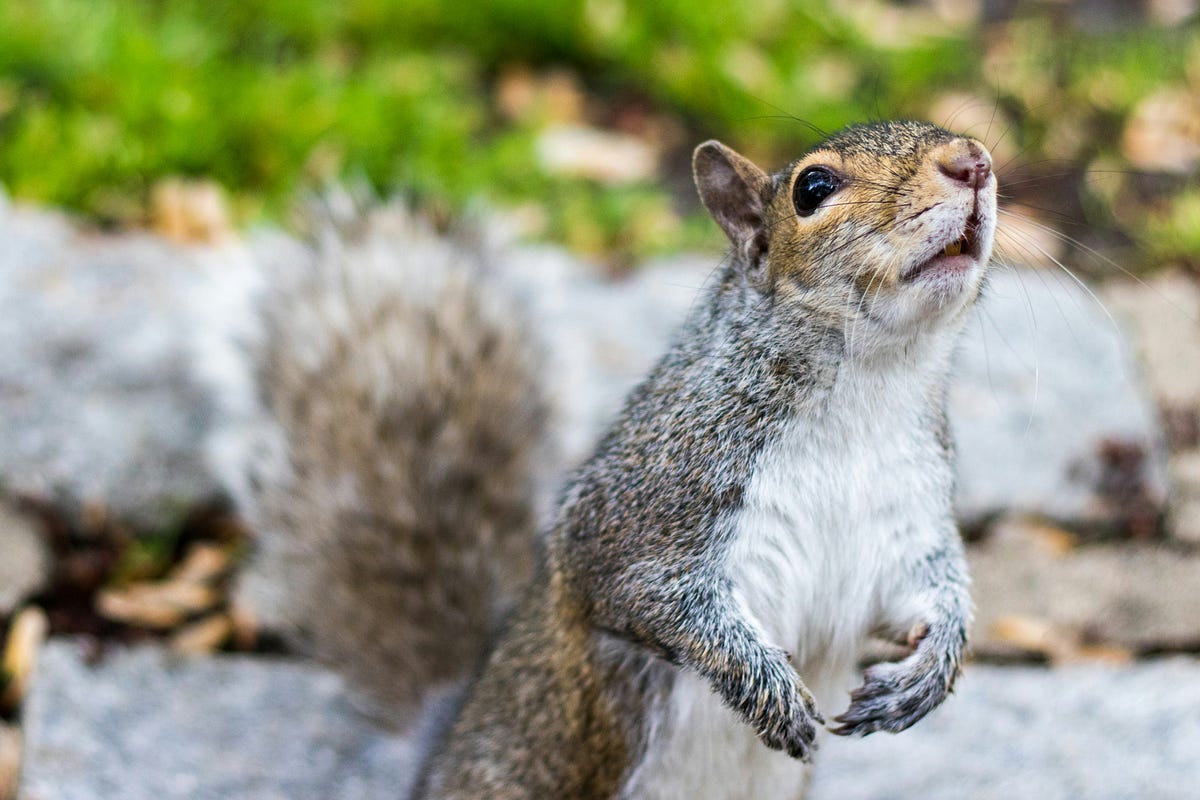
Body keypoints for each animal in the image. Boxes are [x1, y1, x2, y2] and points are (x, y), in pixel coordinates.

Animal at [224, 120, 996, 799]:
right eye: (813, 187)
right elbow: (648, 595)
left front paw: (933, 666)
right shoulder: (643, 504)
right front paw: (763, 686)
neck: (869, 385)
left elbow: (930, 591)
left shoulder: (906, 524)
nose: (973, 162)